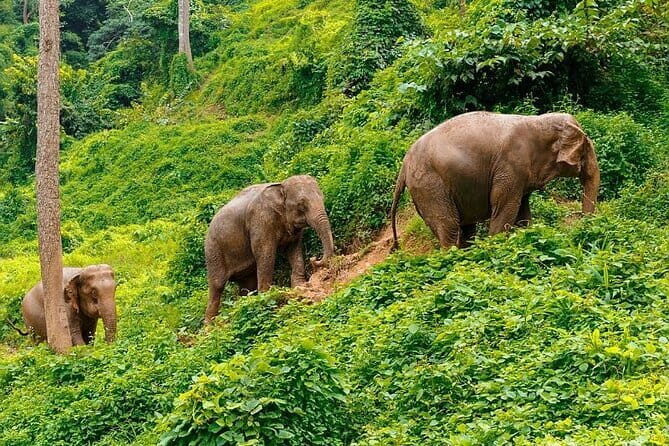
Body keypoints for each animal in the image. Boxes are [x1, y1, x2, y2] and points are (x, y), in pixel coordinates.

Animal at [204, 175, 335, 324]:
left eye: (323, 197)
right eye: (301, 205)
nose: (314, 258)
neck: (281, 186)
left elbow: (294, 249)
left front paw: (299, 286)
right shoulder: (260, 221)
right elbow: (266, 254)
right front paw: (267, 297)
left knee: (247, 284)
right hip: (213, 250)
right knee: (217, 285)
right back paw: (209, 326)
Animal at [390, 111, 600, 249]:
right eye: (585, 150)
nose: (580, 229)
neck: (538, 121)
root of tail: (404, 166)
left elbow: (522, 211)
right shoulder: (511, 166)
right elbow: (505, 207)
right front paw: (495, 246)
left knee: (465, 228)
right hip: (430, 185)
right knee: (449, 226)